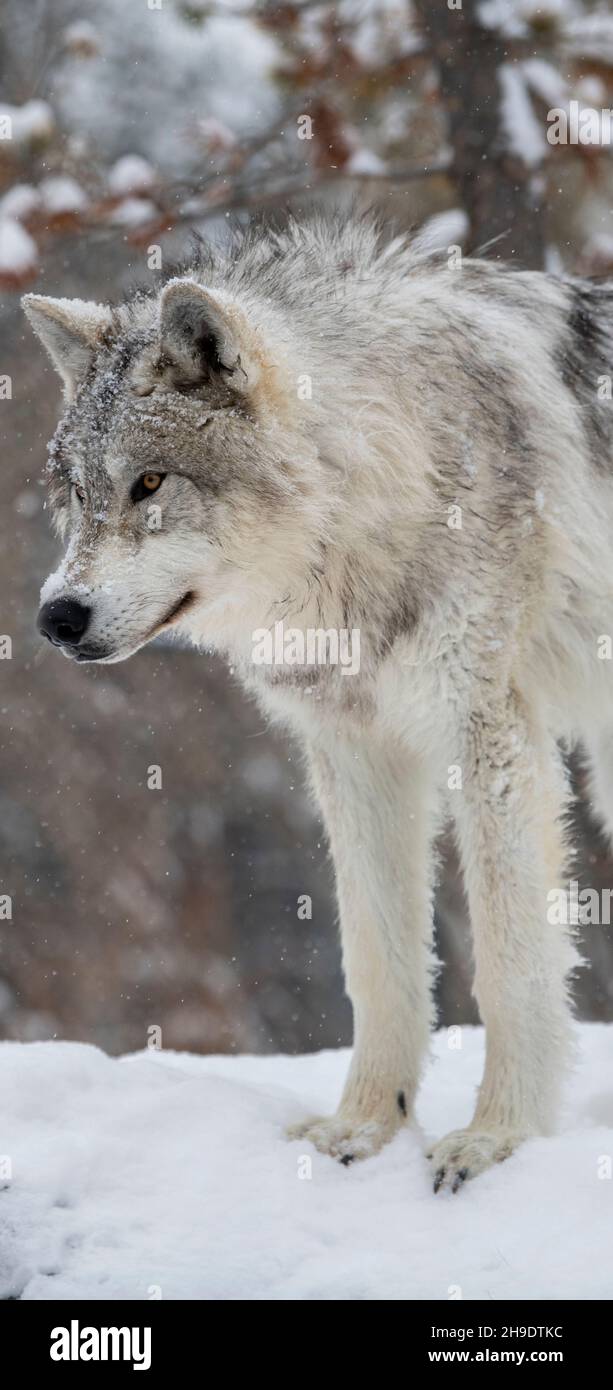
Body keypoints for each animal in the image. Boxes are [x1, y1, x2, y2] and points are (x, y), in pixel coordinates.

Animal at [23, 213, 613, 1190]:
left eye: (149, 483)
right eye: (76, 493)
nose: (55, 618)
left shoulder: (490, 739)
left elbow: (510, 959)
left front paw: (498, 1137)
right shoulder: (353, 749)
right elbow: (375, 957)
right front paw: (364, 1127)